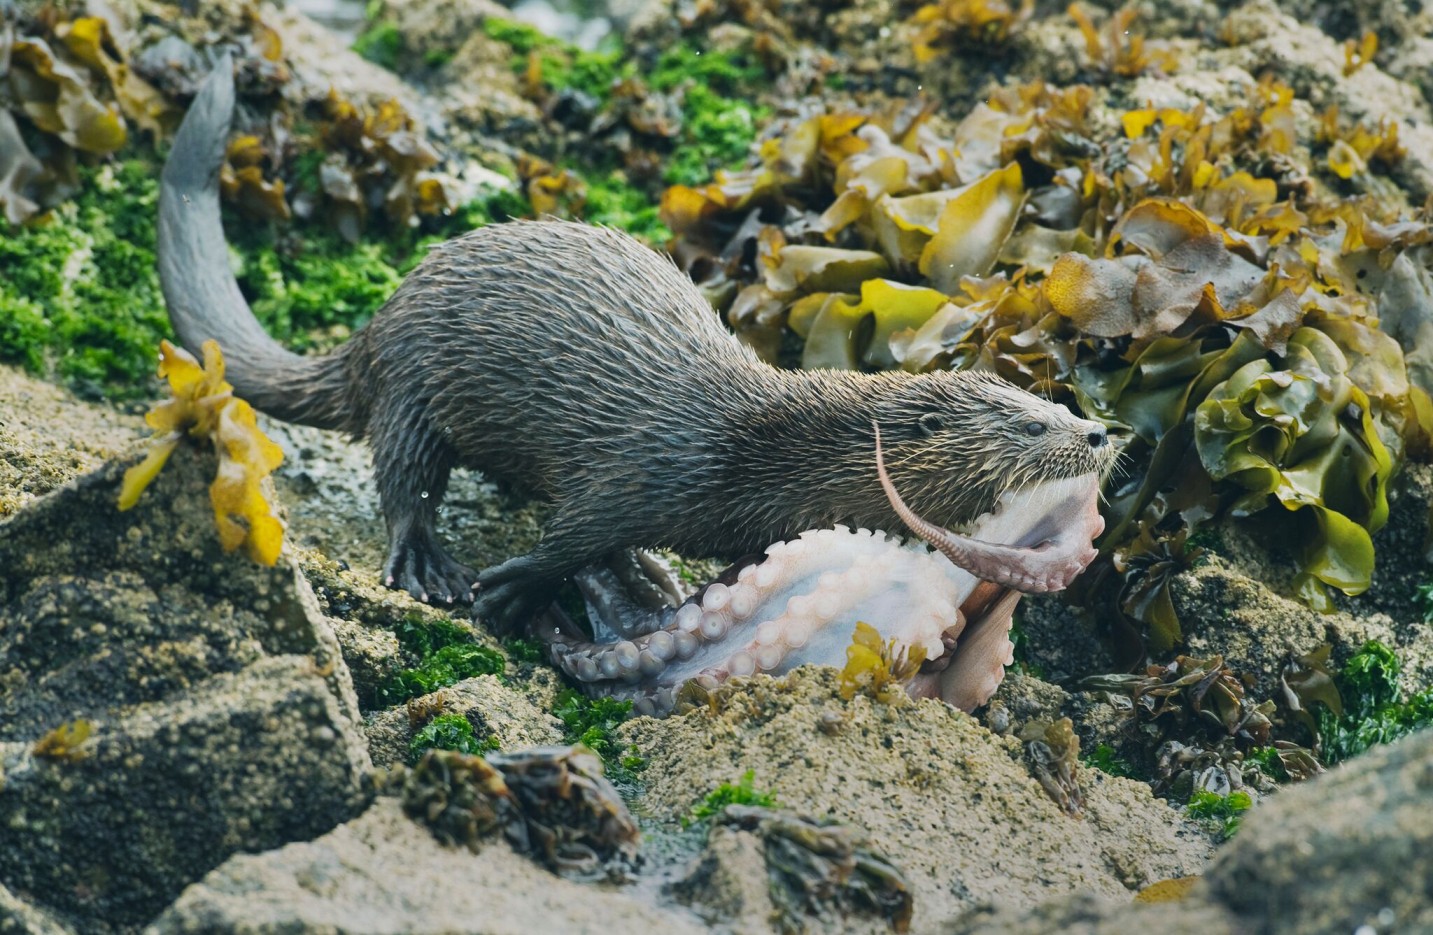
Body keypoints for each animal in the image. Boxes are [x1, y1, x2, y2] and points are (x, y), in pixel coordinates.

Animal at [157, 56, 1114, 631]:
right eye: (1029, 423)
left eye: (1049, 398)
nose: (1100, 432)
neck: (759, 455)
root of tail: (381, 319)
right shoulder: (645, 470)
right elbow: (575, 529)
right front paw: (513, 585)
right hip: (414, 384)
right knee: (403, 480)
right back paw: (431, 564)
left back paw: (647, 575)